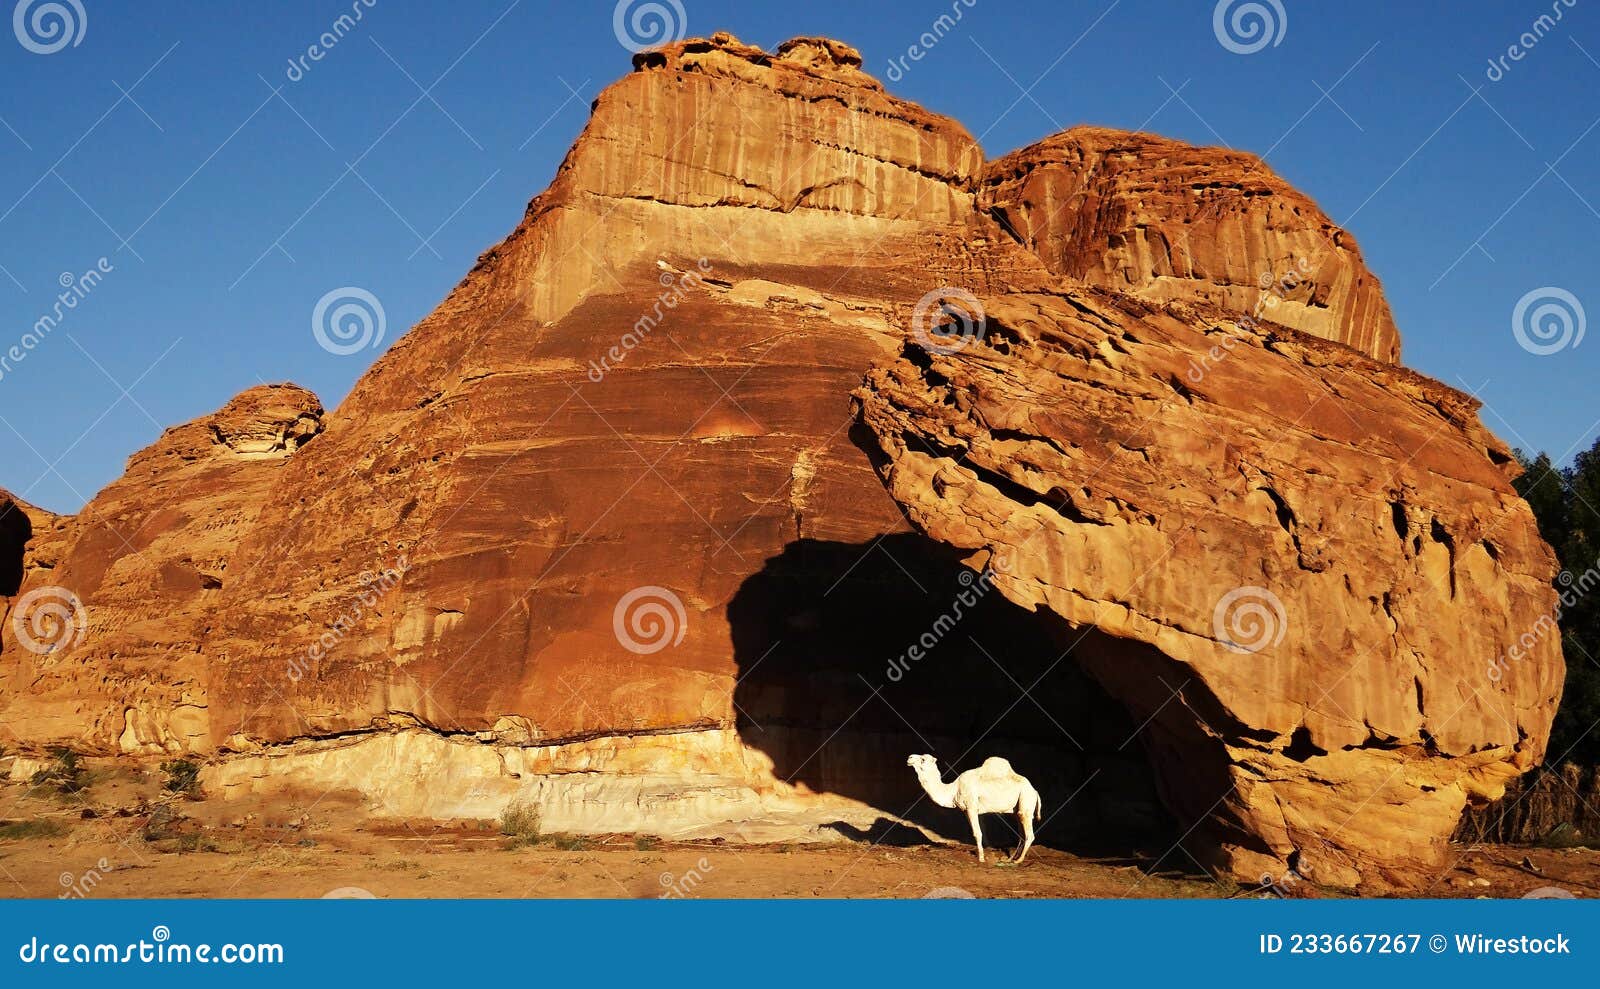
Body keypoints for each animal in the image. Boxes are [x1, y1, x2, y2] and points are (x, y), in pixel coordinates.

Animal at [906, 754, 1041, 864]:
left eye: (923, 759)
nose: (909, 757)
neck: (954, 790)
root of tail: (1035, 791)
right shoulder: (966, 811)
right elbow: (974, 832)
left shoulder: (972, 807)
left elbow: (977, 833)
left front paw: (981, 858)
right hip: (1017, 809)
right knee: (1021, 833)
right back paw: (1010, 859)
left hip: (1026, 800)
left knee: (1029, 834)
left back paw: (1019, 860)